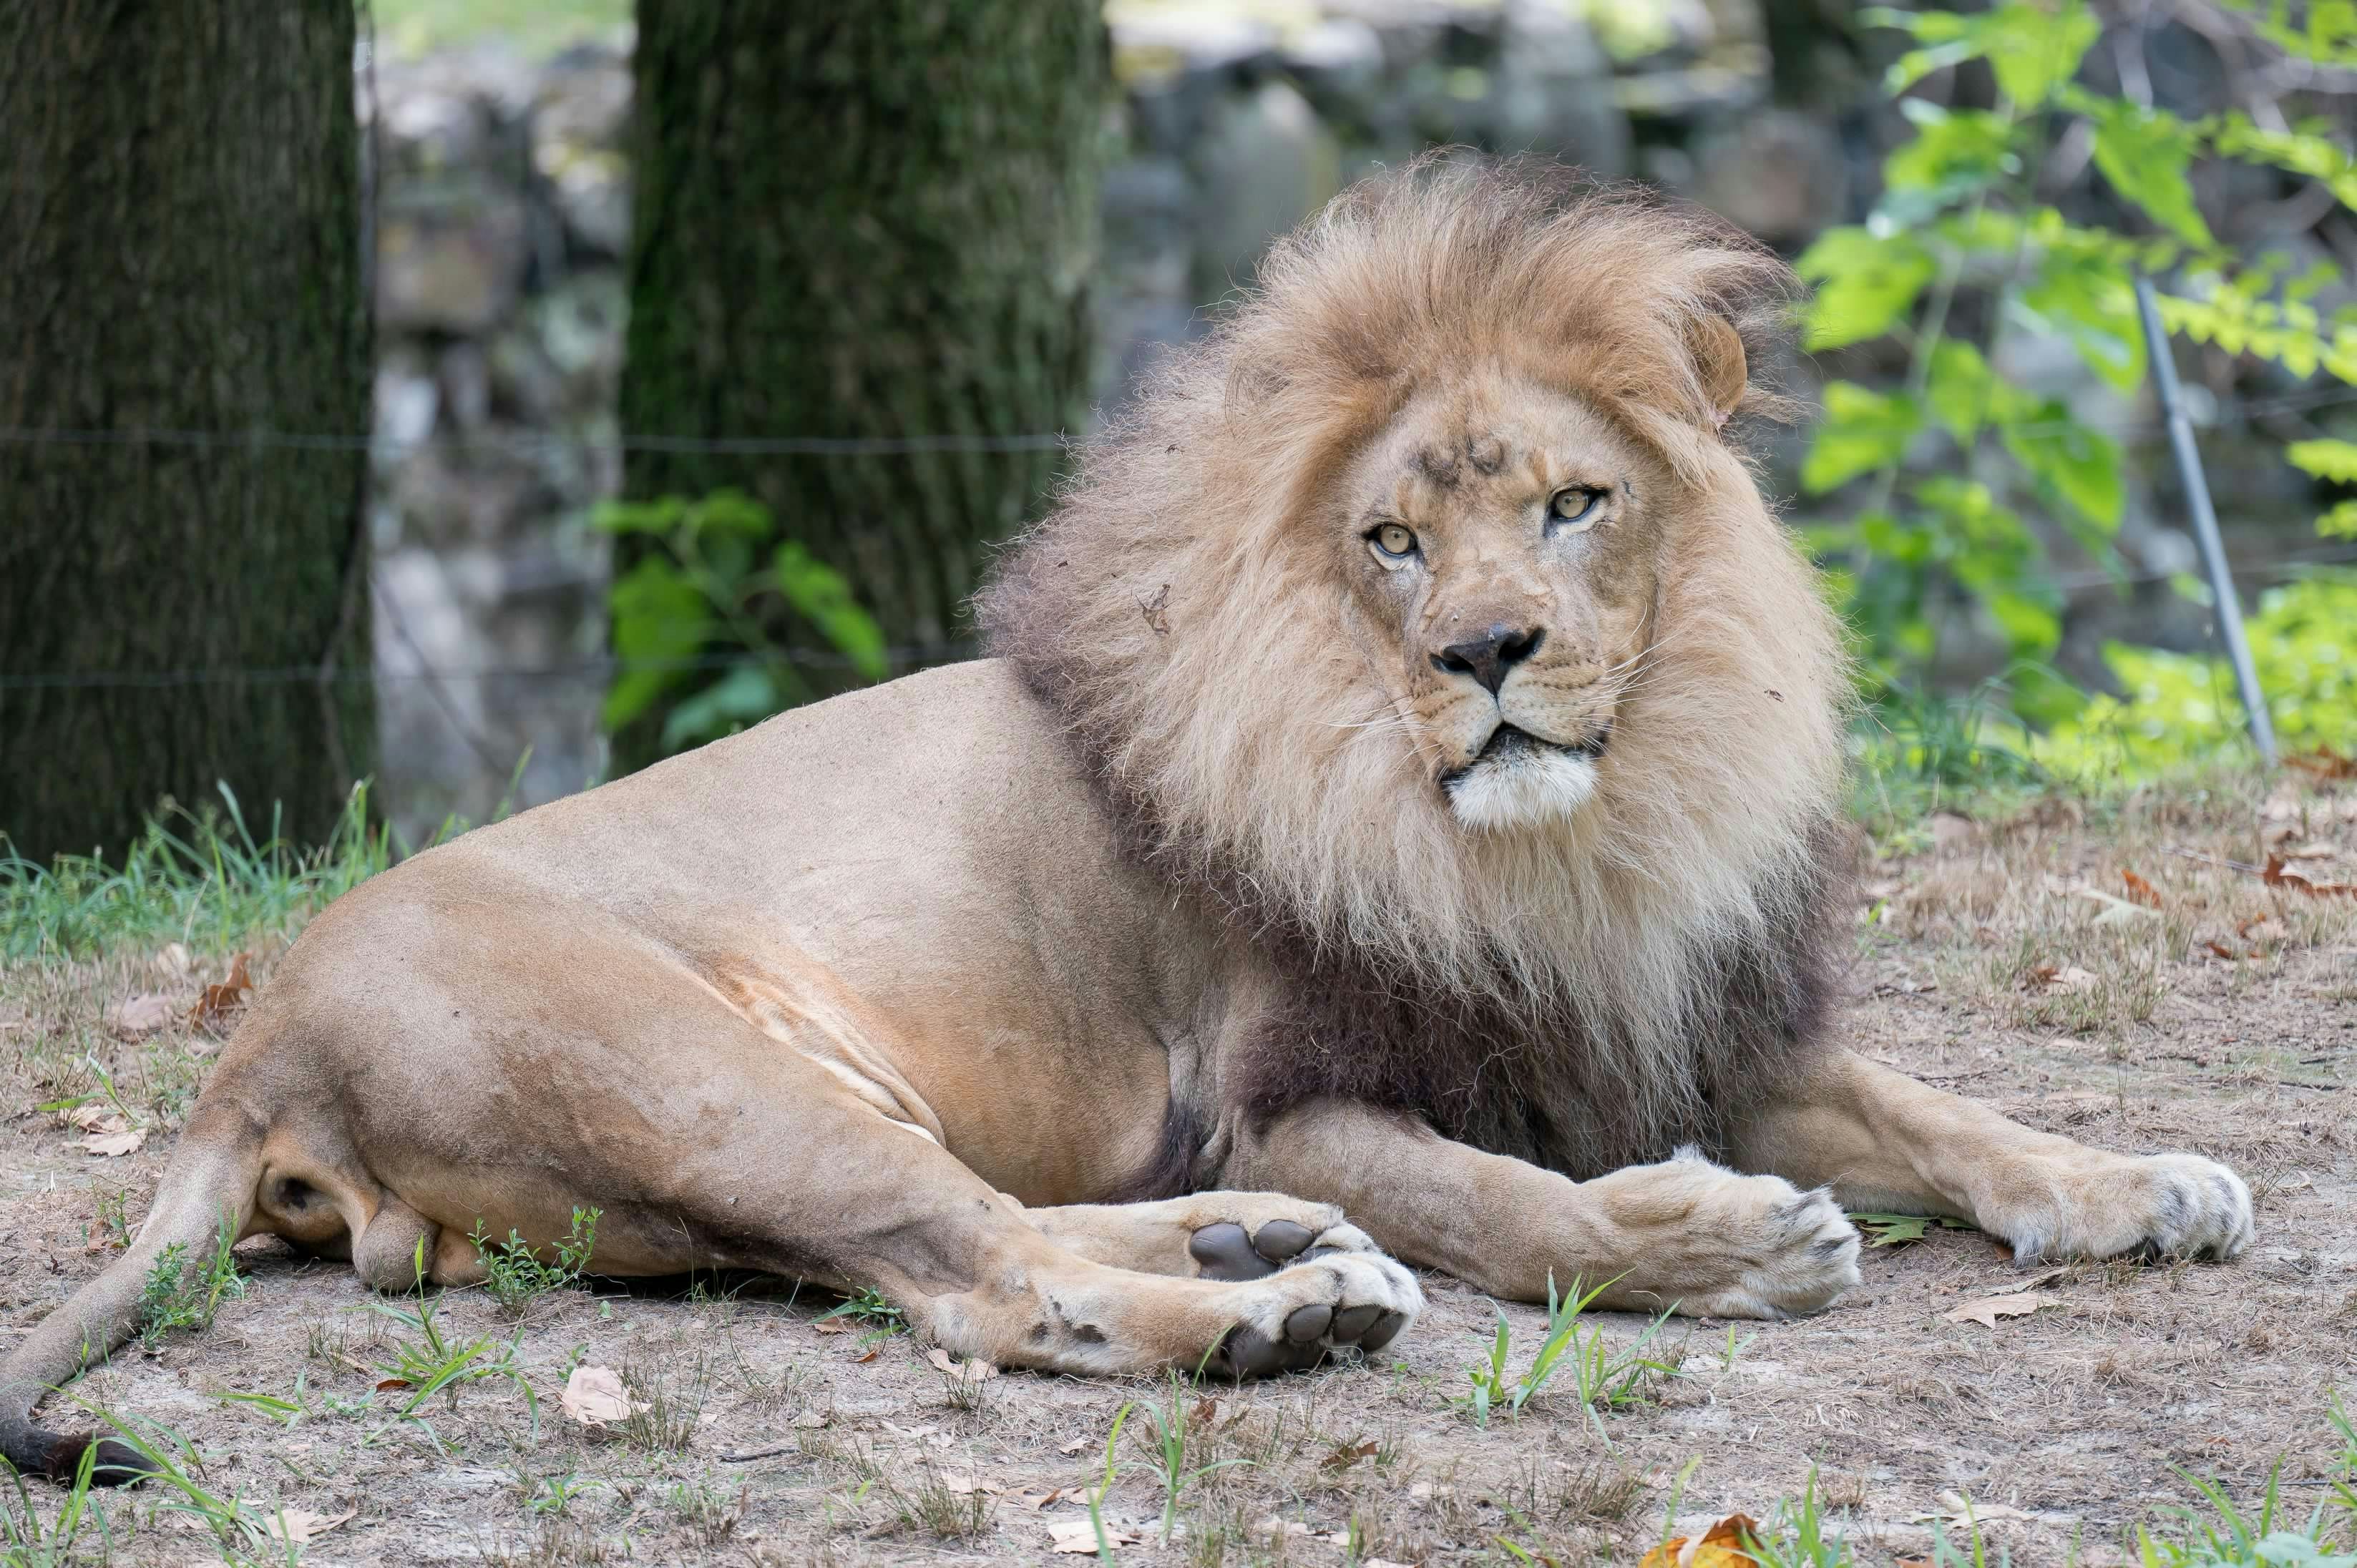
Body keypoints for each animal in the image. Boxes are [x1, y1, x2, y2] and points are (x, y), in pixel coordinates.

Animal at [1, 158, 2253, 1483]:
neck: (1556, 846)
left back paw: (1265, 1255)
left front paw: (2140, 1180)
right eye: (1390, 540)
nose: (1488, 652)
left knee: (962, 1230)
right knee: (979, 1280)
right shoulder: (1294, 1082)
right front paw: (1717, 1240)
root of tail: (254, 1046)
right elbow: (1512, 1206)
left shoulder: (1658, 1014)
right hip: (702, 1074)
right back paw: (1276, 1309)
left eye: (1571, 505)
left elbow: (1937, 1112)